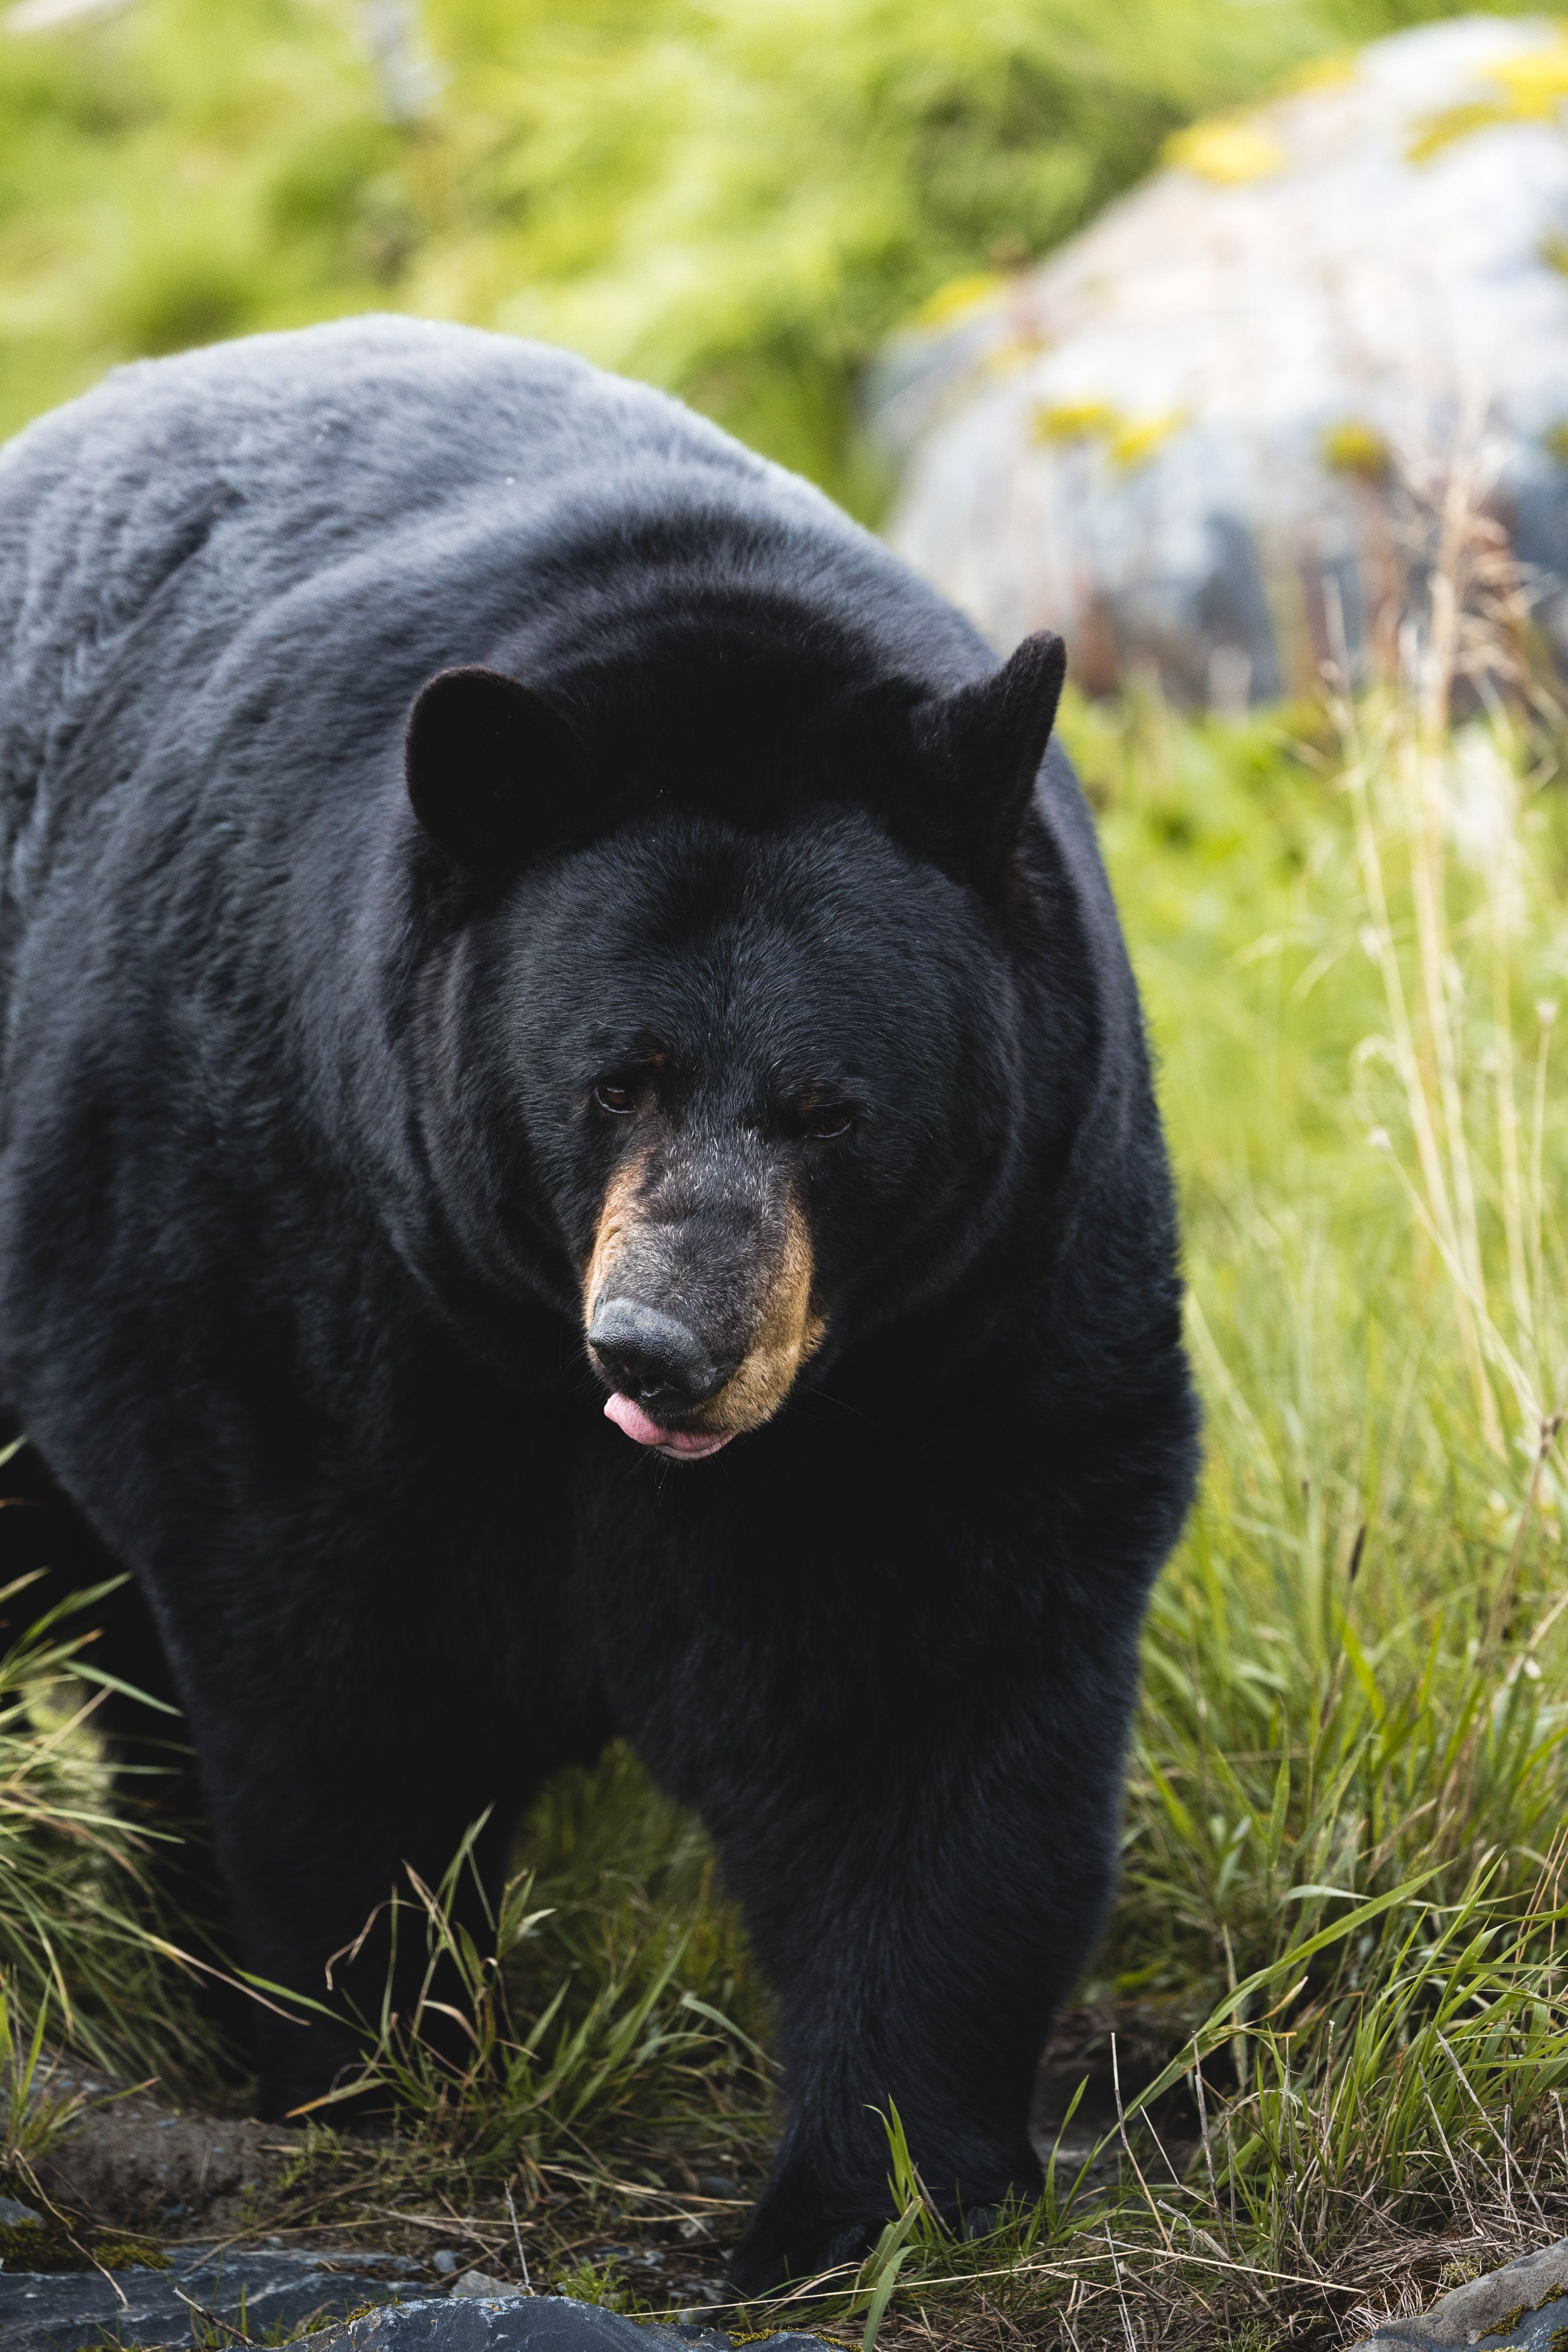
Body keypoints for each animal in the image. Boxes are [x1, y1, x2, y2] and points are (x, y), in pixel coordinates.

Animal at [0, 316, 1199, 2294]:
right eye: (608, 1081)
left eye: (830, 1107)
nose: (666, 1345)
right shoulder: (279, 1243)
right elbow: (331, 1670)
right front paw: (379, 2060)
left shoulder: (973, 1317)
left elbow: (927, 1697)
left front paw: (869, 2186)